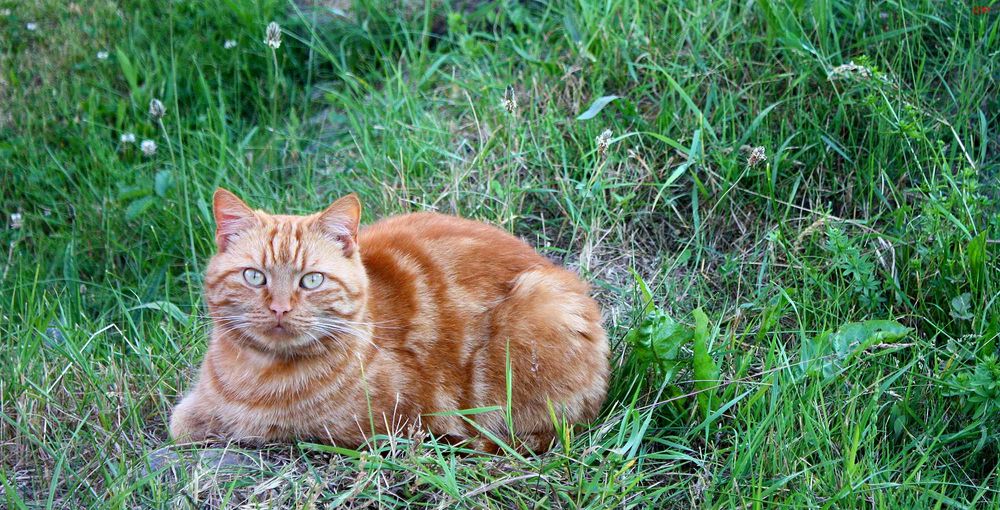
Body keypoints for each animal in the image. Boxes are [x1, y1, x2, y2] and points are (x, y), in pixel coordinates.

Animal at [170, 188, 608, 450]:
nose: (280, 308)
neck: (257, 377)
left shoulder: (369, 429)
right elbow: (180, 425)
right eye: (254, 276)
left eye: (311, 280)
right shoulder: (194, 410)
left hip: (540, 307)